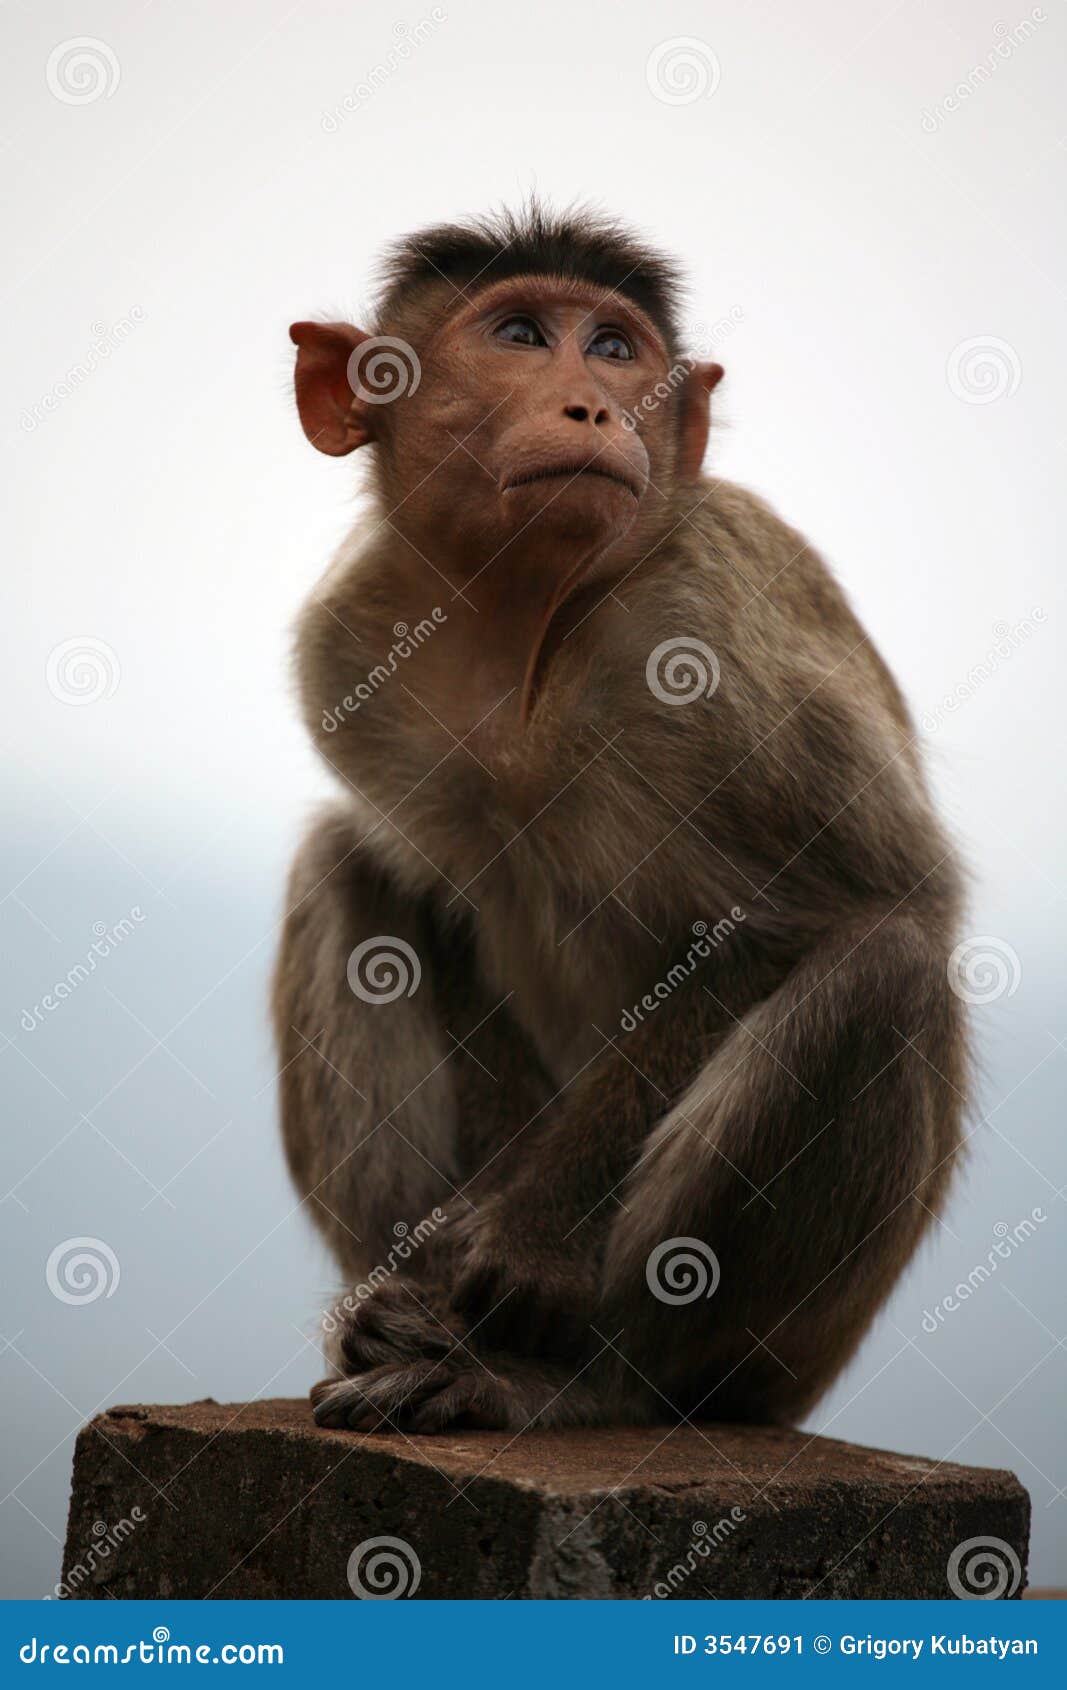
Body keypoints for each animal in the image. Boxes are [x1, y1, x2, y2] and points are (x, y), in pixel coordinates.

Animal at [272, 203, 968, 1436]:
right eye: (516, 333)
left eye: (611, 348)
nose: (591, 406)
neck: (528, 625)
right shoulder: (346, 643)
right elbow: (430, 902)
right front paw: (440, 1262)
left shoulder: (706, 624)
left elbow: (835, 905)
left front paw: (522, 1237)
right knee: (338, 866)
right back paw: (398, 1322)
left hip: (785, 1361)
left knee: (884, 969)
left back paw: (572, 1380)